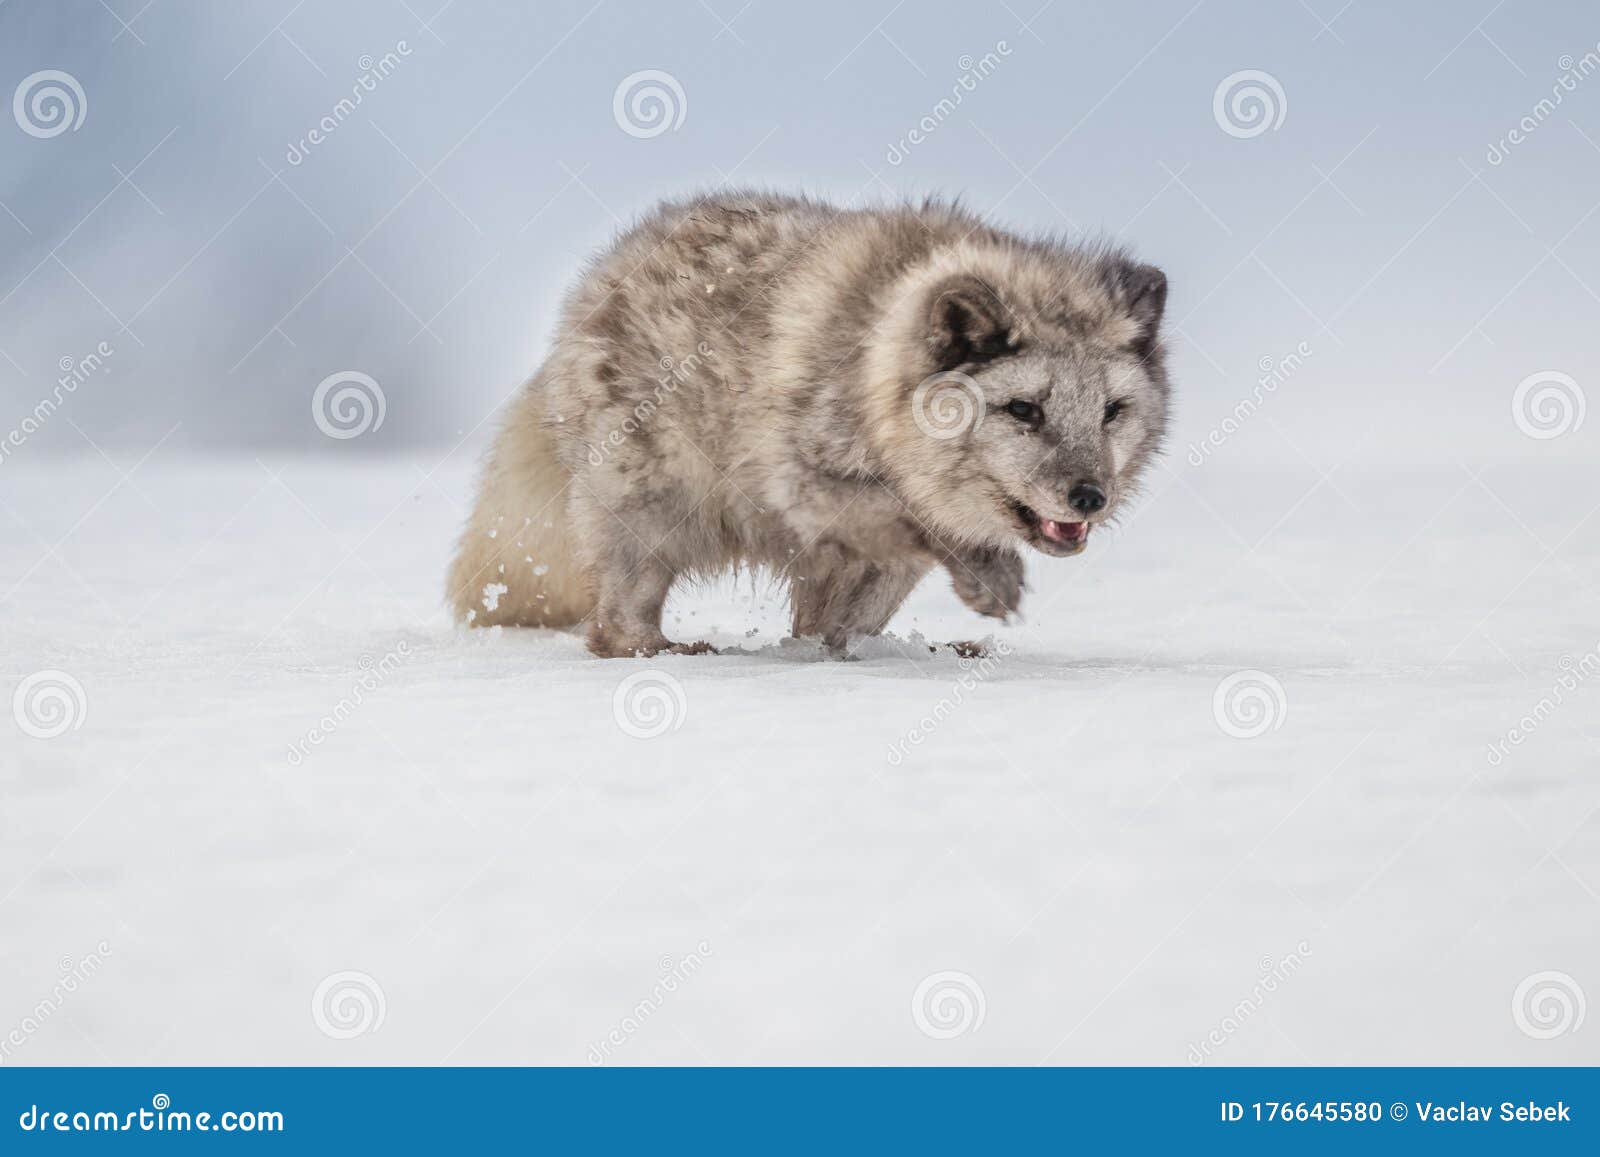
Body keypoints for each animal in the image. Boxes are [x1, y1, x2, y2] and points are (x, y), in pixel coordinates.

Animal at [447, 190, 1171, 657]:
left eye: (1112, 411)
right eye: (1024, 409)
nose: (1091, 497)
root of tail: (593, 286)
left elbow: (850, 616)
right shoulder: (806, 483)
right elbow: (915, 518)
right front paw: (989, 577)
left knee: (821, 623)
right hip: (652, 513)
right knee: (609, 629)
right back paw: (662, 649)